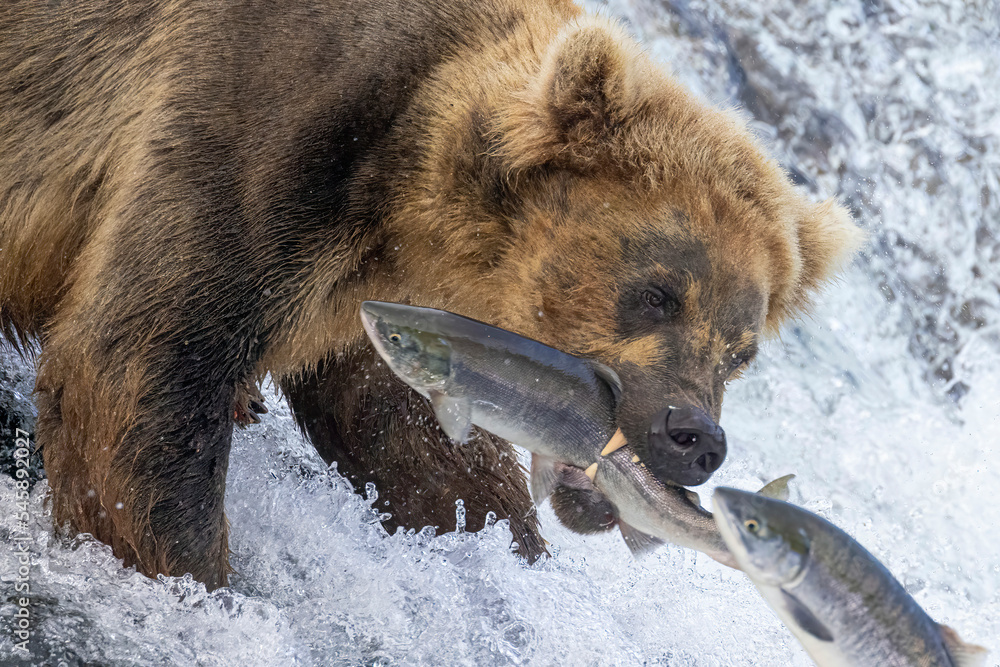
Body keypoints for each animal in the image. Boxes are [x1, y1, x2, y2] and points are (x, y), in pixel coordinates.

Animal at [0, 0, 861, 590]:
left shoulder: (377, 293)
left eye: (741, 352)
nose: (693, 434)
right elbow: (143, 366)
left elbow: (409, 436)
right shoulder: (260, 123)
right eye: (657, 292)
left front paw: (503, 536)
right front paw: (197, 576)